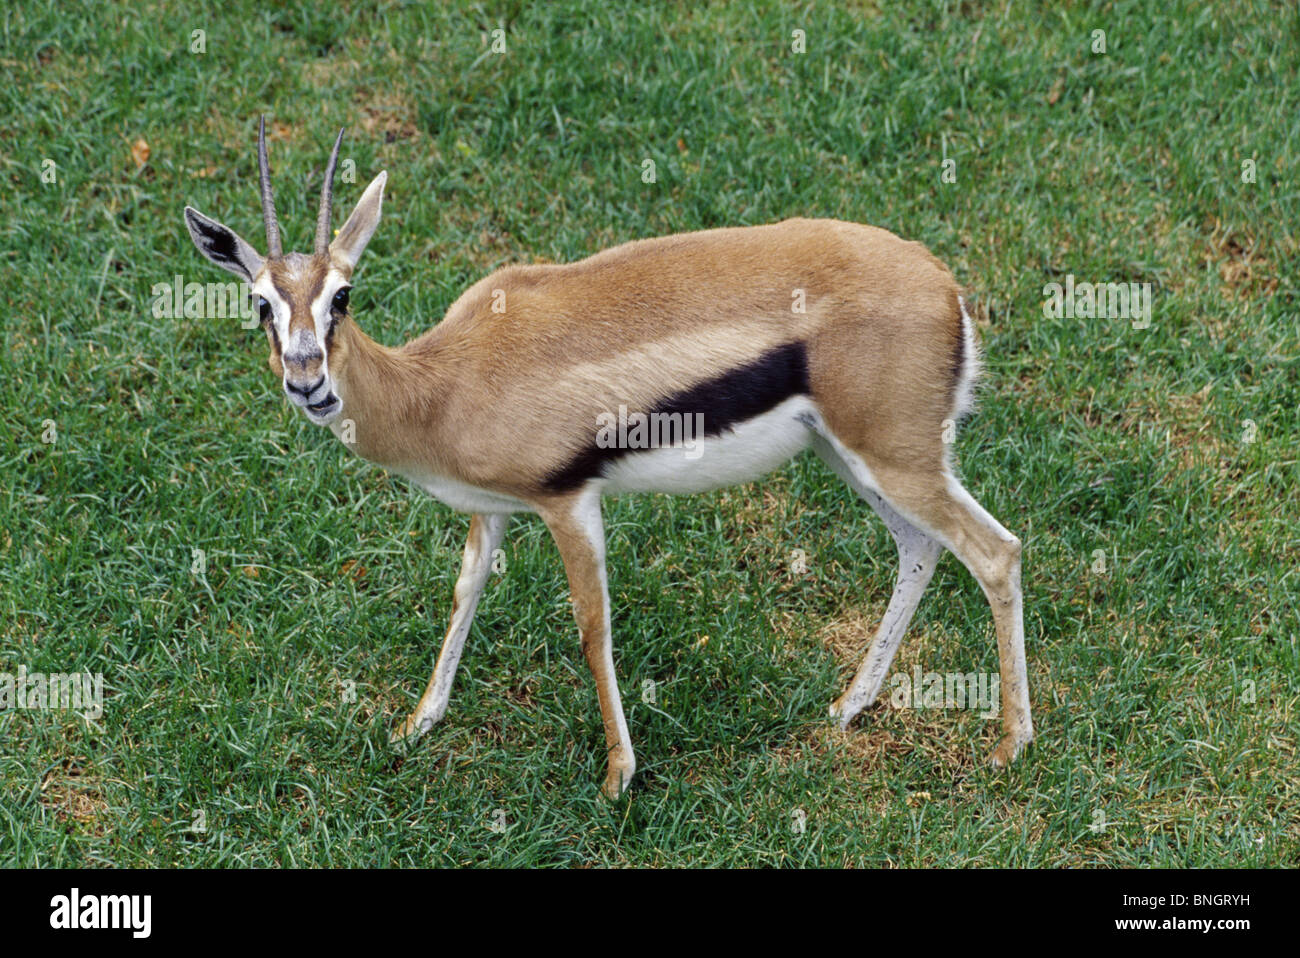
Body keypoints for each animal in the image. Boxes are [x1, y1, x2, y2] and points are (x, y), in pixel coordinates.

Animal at [183, 119, 1033, 799]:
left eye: (343, 296)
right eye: (261, 303)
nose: (308, 382)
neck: (444, 383)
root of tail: (945, 285)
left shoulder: (568, 502)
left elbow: (593, 625)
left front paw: (619, 776)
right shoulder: (493, 512)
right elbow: (464, 593)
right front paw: (417, 724)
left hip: (894, 457)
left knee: (995, 551)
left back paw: (1009, 746)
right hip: (851, 455)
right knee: (921, 547)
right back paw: (848, 708)